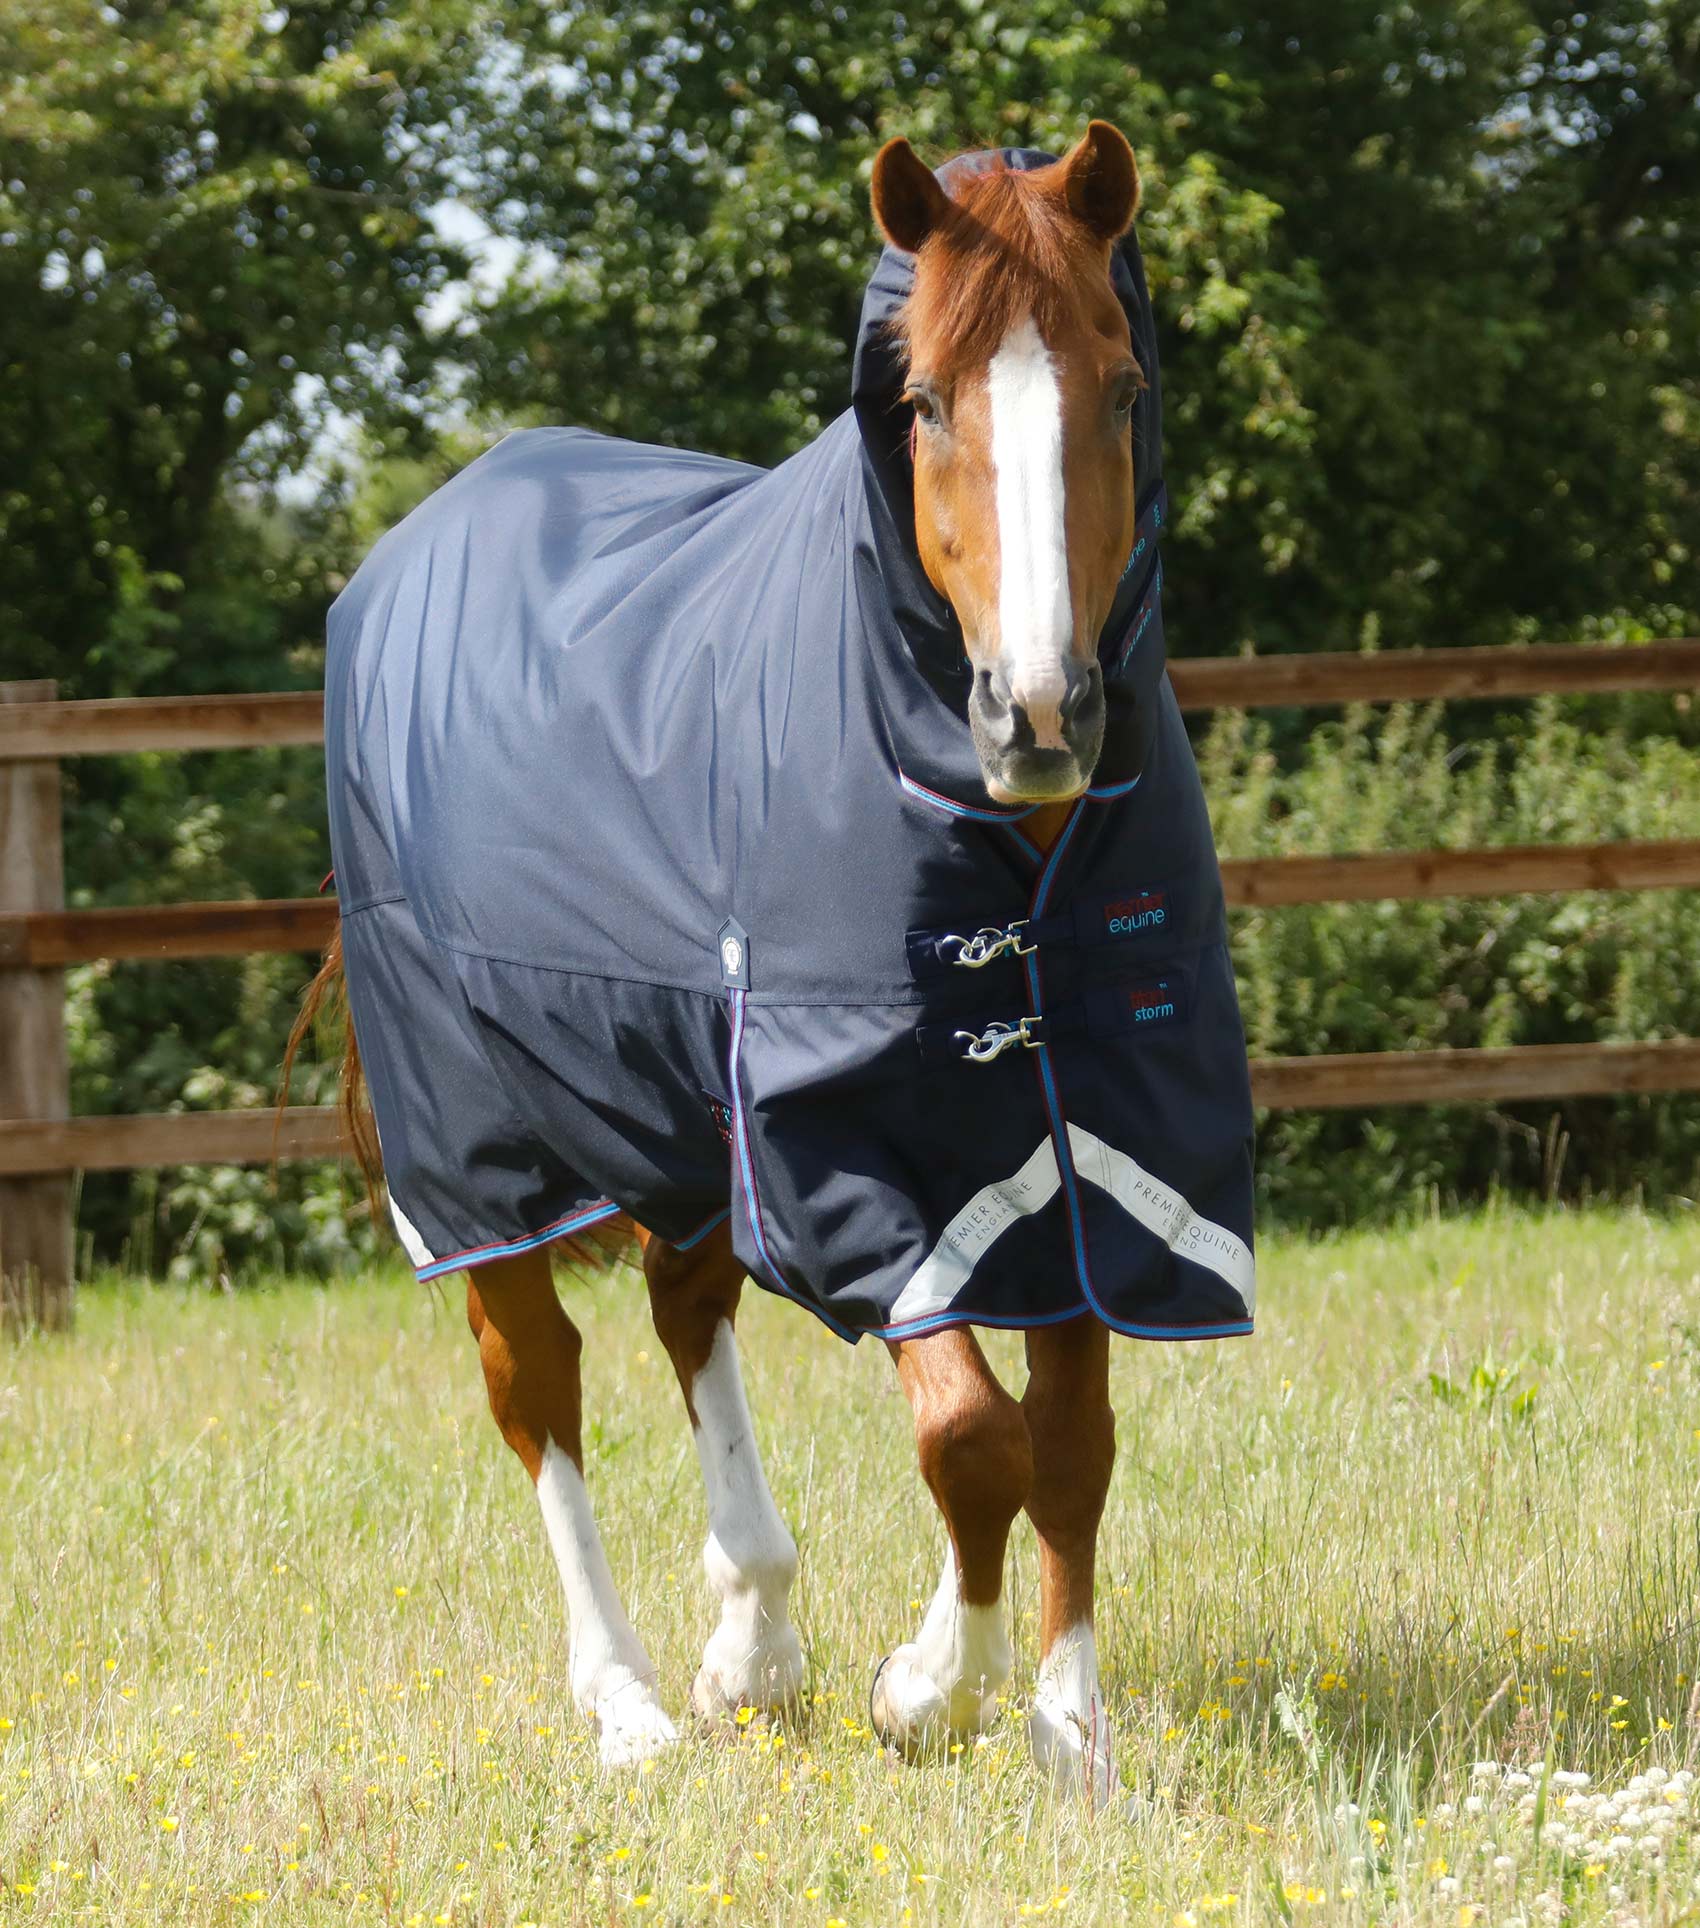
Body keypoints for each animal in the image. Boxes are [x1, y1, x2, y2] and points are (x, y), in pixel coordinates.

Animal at [289, 122, 1256, 1804]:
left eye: (1124, 385)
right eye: (920, 400)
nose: (1042, 714)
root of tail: (411, 547)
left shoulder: (1086, 1139)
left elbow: (1068, 1447)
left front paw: (1066, 1727)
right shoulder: (854, 1163)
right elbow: (977, 1442)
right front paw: (930, 1691)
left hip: (678, 1101)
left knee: (687, 1308)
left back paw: (755, 1638)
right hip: (482, 1147)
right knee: (534, 1381)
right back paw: (625, 1703)